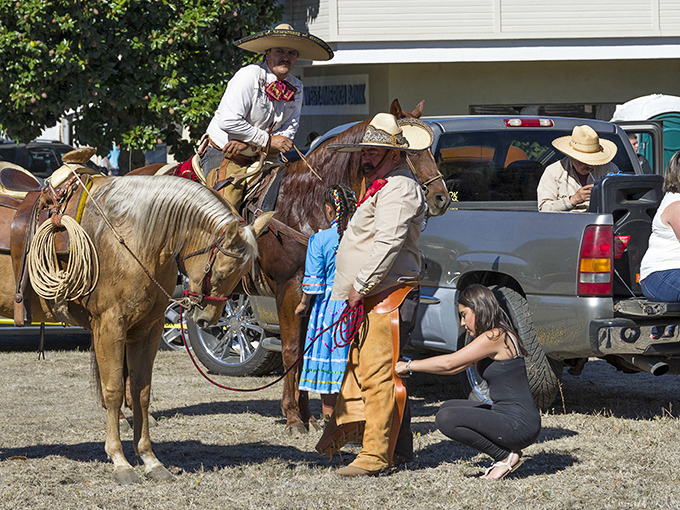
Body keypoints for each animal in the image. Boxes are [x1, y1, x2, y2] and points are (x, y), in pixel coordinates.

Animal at [0, 175, 272, 484]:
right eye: (222, 271)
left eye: (243, 274)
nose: (207, 319)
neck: (132, 236)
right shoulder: (109, 326)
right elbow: (114, 390)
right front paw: (119, 461)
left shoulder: (147, 329)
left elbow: (141, 391)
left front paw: (149, 459)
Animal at [130, 99, 450, 432]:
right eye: (407, 151)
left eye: (430, 151)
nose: (441, 197)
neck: (302, 204)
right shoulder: (290, 288)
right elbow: (291, 349)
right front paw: (293, 415)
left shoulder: (313, 292)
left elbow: (305, 348)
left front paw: (308, 413)